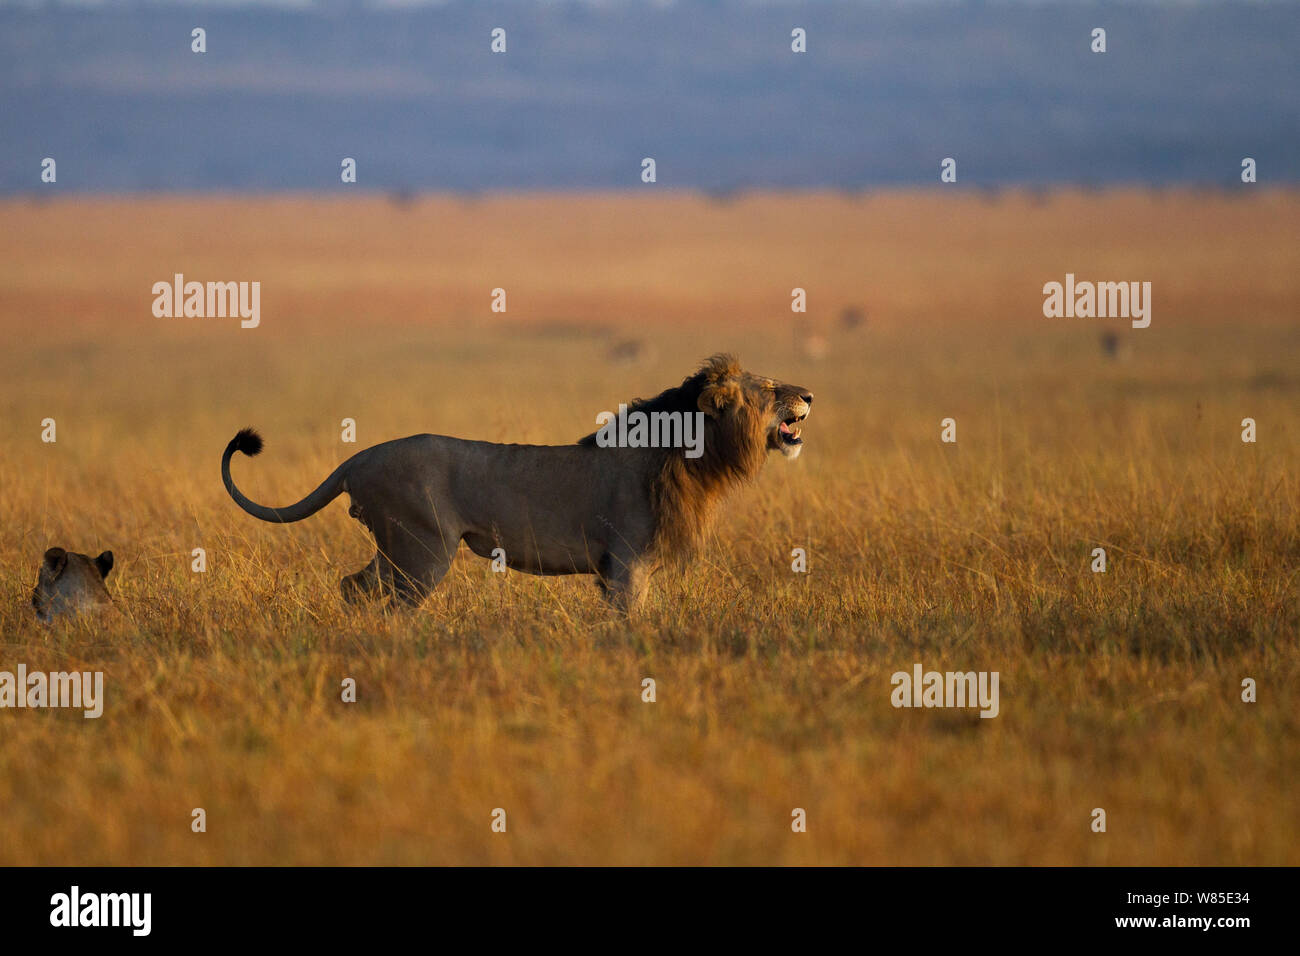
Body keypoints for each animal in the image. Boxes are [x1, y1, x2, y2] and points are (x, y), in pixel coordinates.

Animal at [221, 354, 812, 611]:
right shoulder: (627, 562)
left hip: (397, 548)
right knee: (387, 601)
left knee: (353, 587)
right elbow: (631, 620)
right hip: (422, 549)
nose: (808, 394)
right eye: (768, 387)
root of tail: (356, 459)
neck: (692, 454)